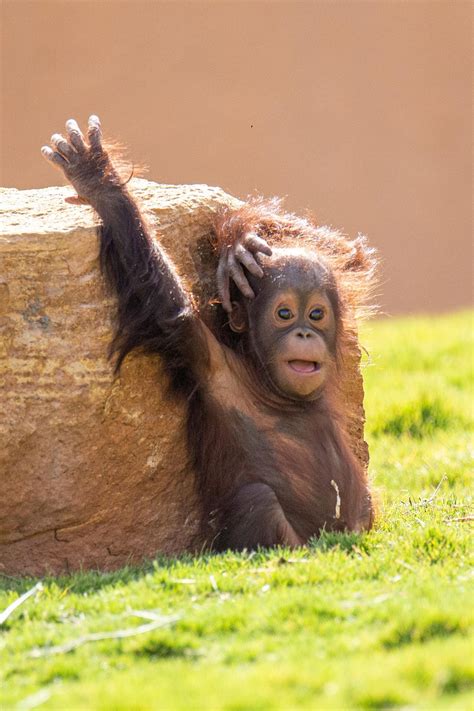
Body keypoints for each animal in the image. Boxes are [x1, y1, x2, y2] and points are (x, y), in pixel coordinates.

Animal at [41, 115, 376, 551]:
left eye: (316, 314)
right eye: (285, 314)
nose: (304, 333)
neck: (280, 395)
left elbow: (352, 252)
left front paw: (239, 244)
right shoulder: (210, 363)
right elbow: (171, 311)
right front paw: (98, 179)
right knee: (258, 499)